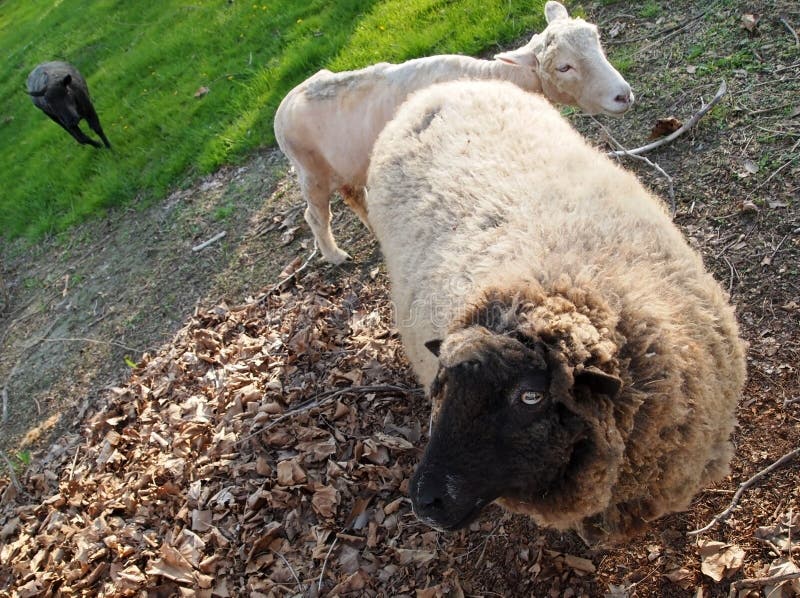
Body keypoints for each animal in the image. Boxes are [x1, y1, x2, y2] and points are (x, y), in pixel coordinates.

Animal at [274, 1, 632, 265]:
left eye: (598, 41)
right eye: (564, 67)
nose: (623, 95)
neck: (491, 77)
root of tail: (286, 101)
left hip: (347, 164)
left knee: (355, 196)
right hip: (311, 172)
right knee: (314, 216)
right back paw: (335, 255)